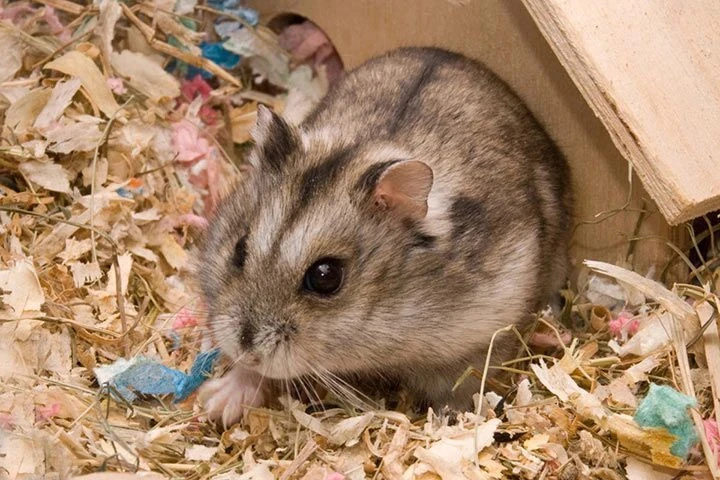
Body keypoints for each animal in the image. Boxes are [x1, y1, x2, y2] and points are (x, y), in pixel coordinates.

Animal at [198, 47, 572, 427]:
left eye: (325, 276)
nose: (246, 348)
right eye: (239, 250)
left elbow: (463, 387)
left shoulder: (484, 334)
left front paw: (451, 421)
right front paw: (216, 403)